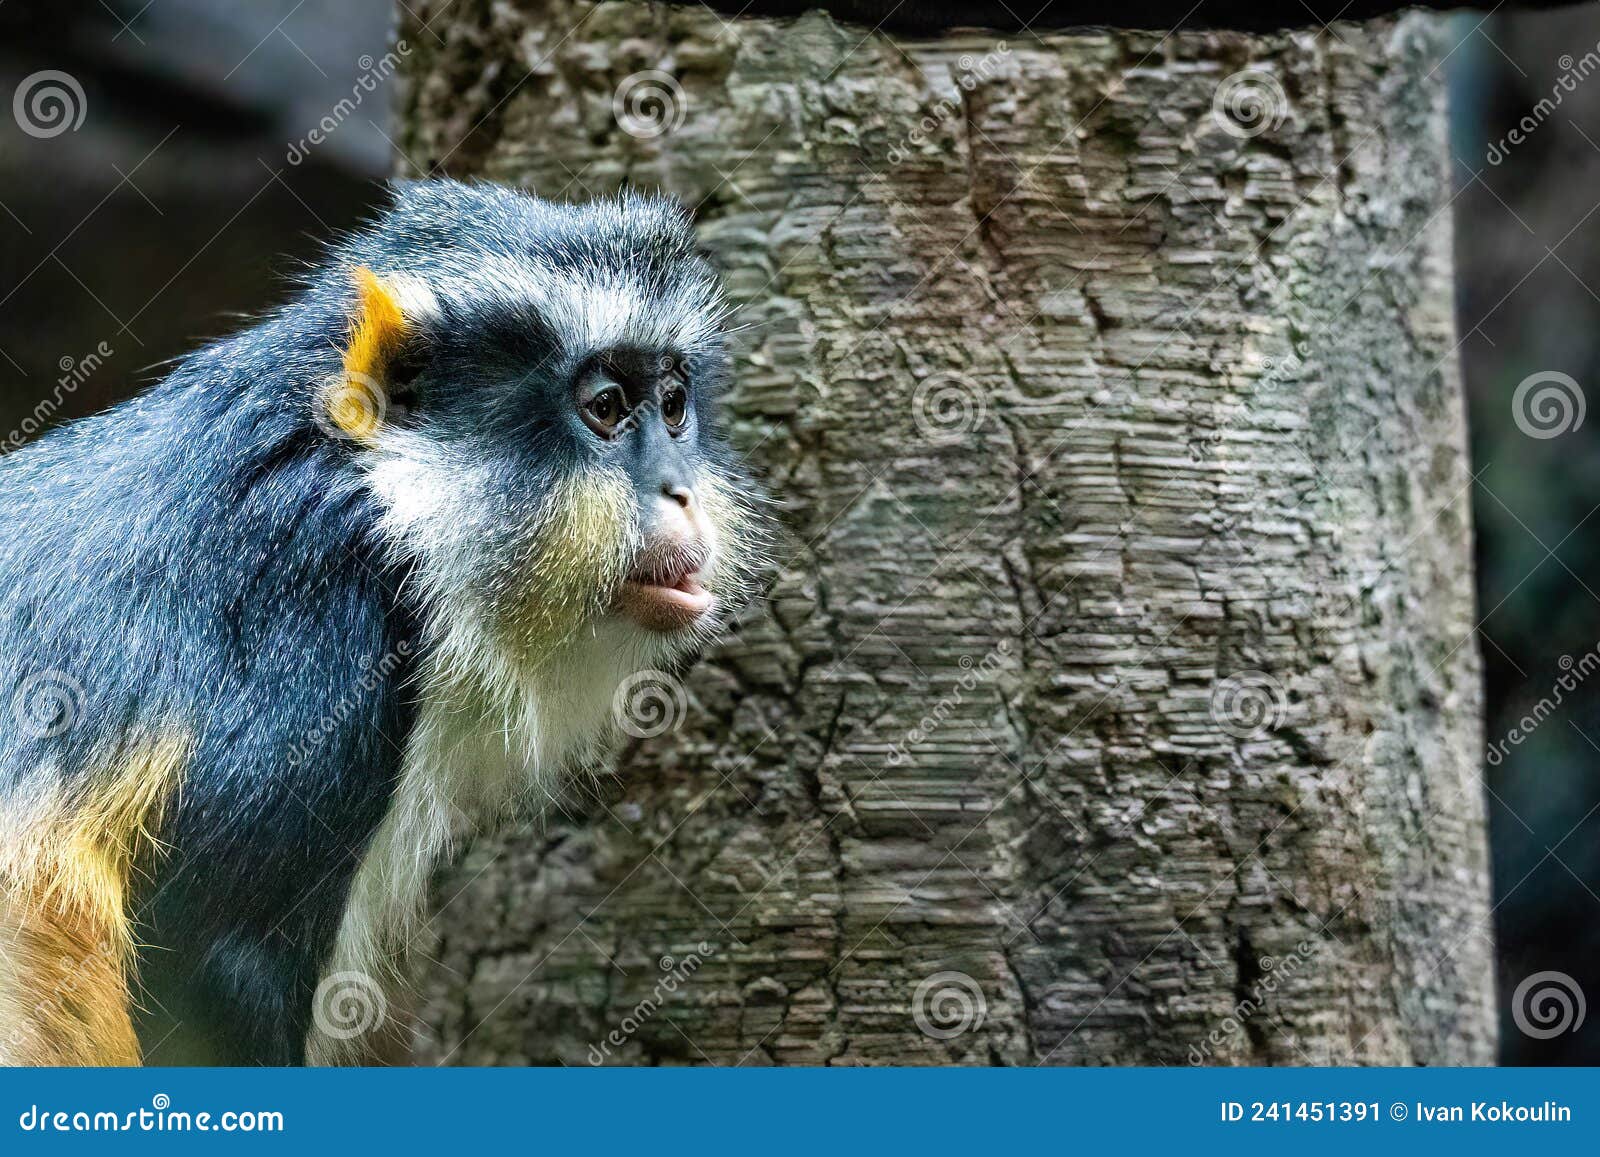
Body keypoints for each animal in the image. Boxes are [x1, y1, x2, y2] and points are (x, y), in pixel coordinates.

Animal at [0, 179, 771, 1065]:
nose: (681, 489)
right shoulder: (332, 608)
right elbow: (213, 954)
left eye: (673, 406)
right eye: (606, 407)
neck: (379, 486)